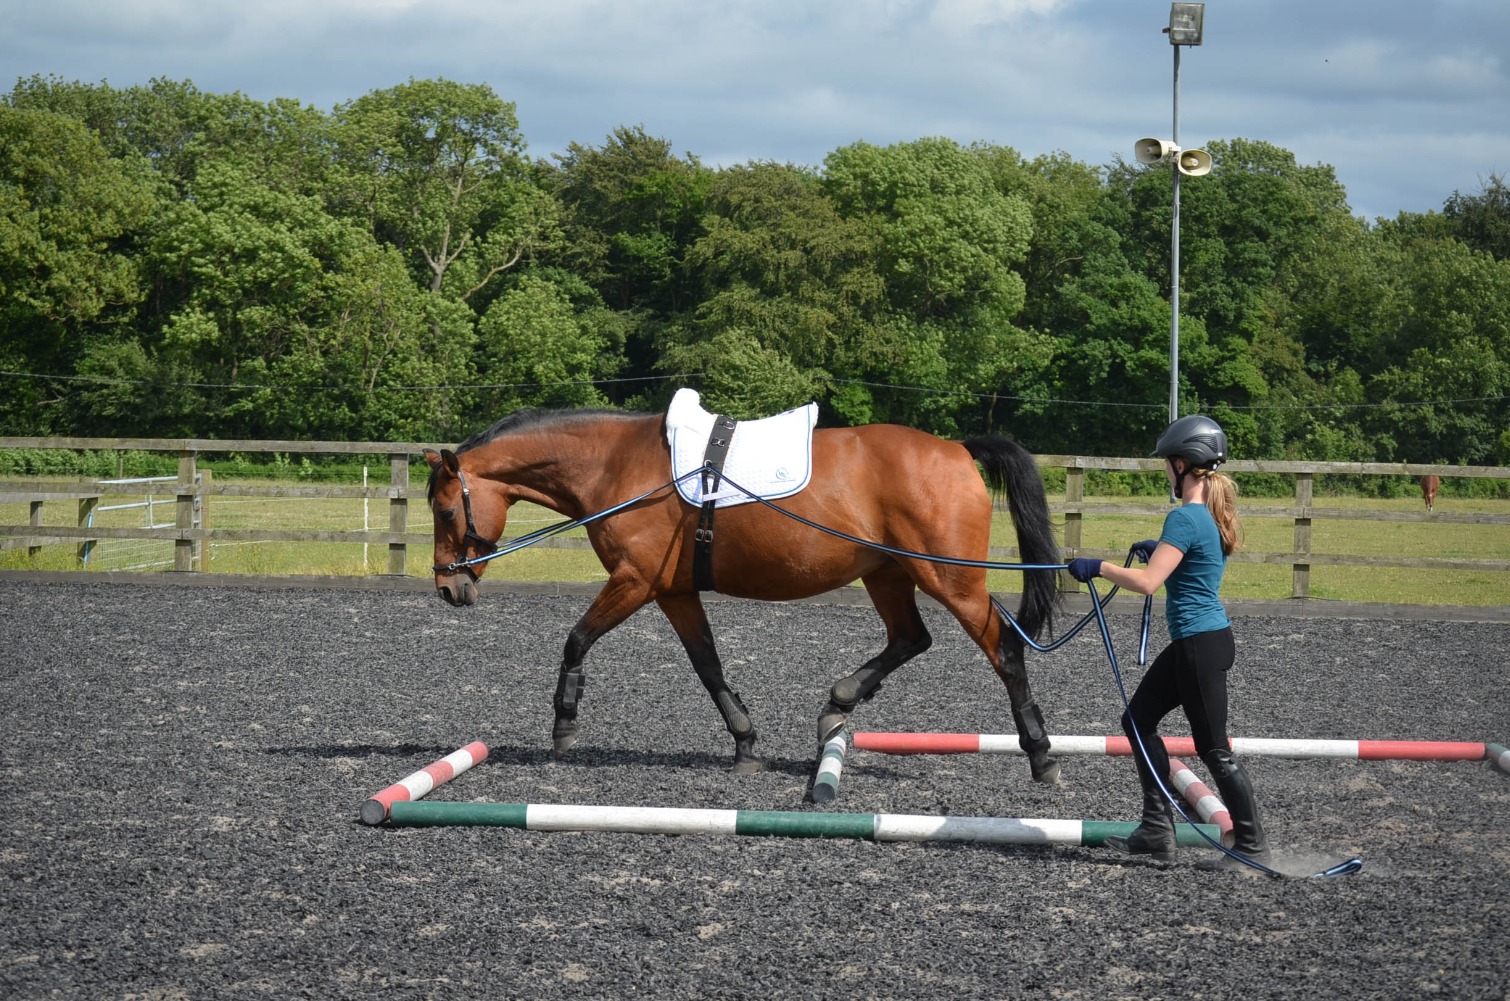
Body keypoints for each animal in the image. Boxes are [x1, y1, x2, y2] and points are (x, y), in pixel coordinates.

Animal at [423, 405, 1064, 783]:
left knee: (1004, 648)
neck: (615, 467)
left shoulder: (634, 580)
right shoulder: (673, 591)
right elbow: (707, 664)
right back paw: (837, 704)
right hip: (888, 573)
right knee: (910, 638)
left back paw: (1040, 754)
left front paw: (563, 725)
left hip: (951, 579)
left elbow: (576, 640)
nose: (449, 587)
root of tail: (956, 449)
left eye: (446, 509)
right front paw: (746, 743)